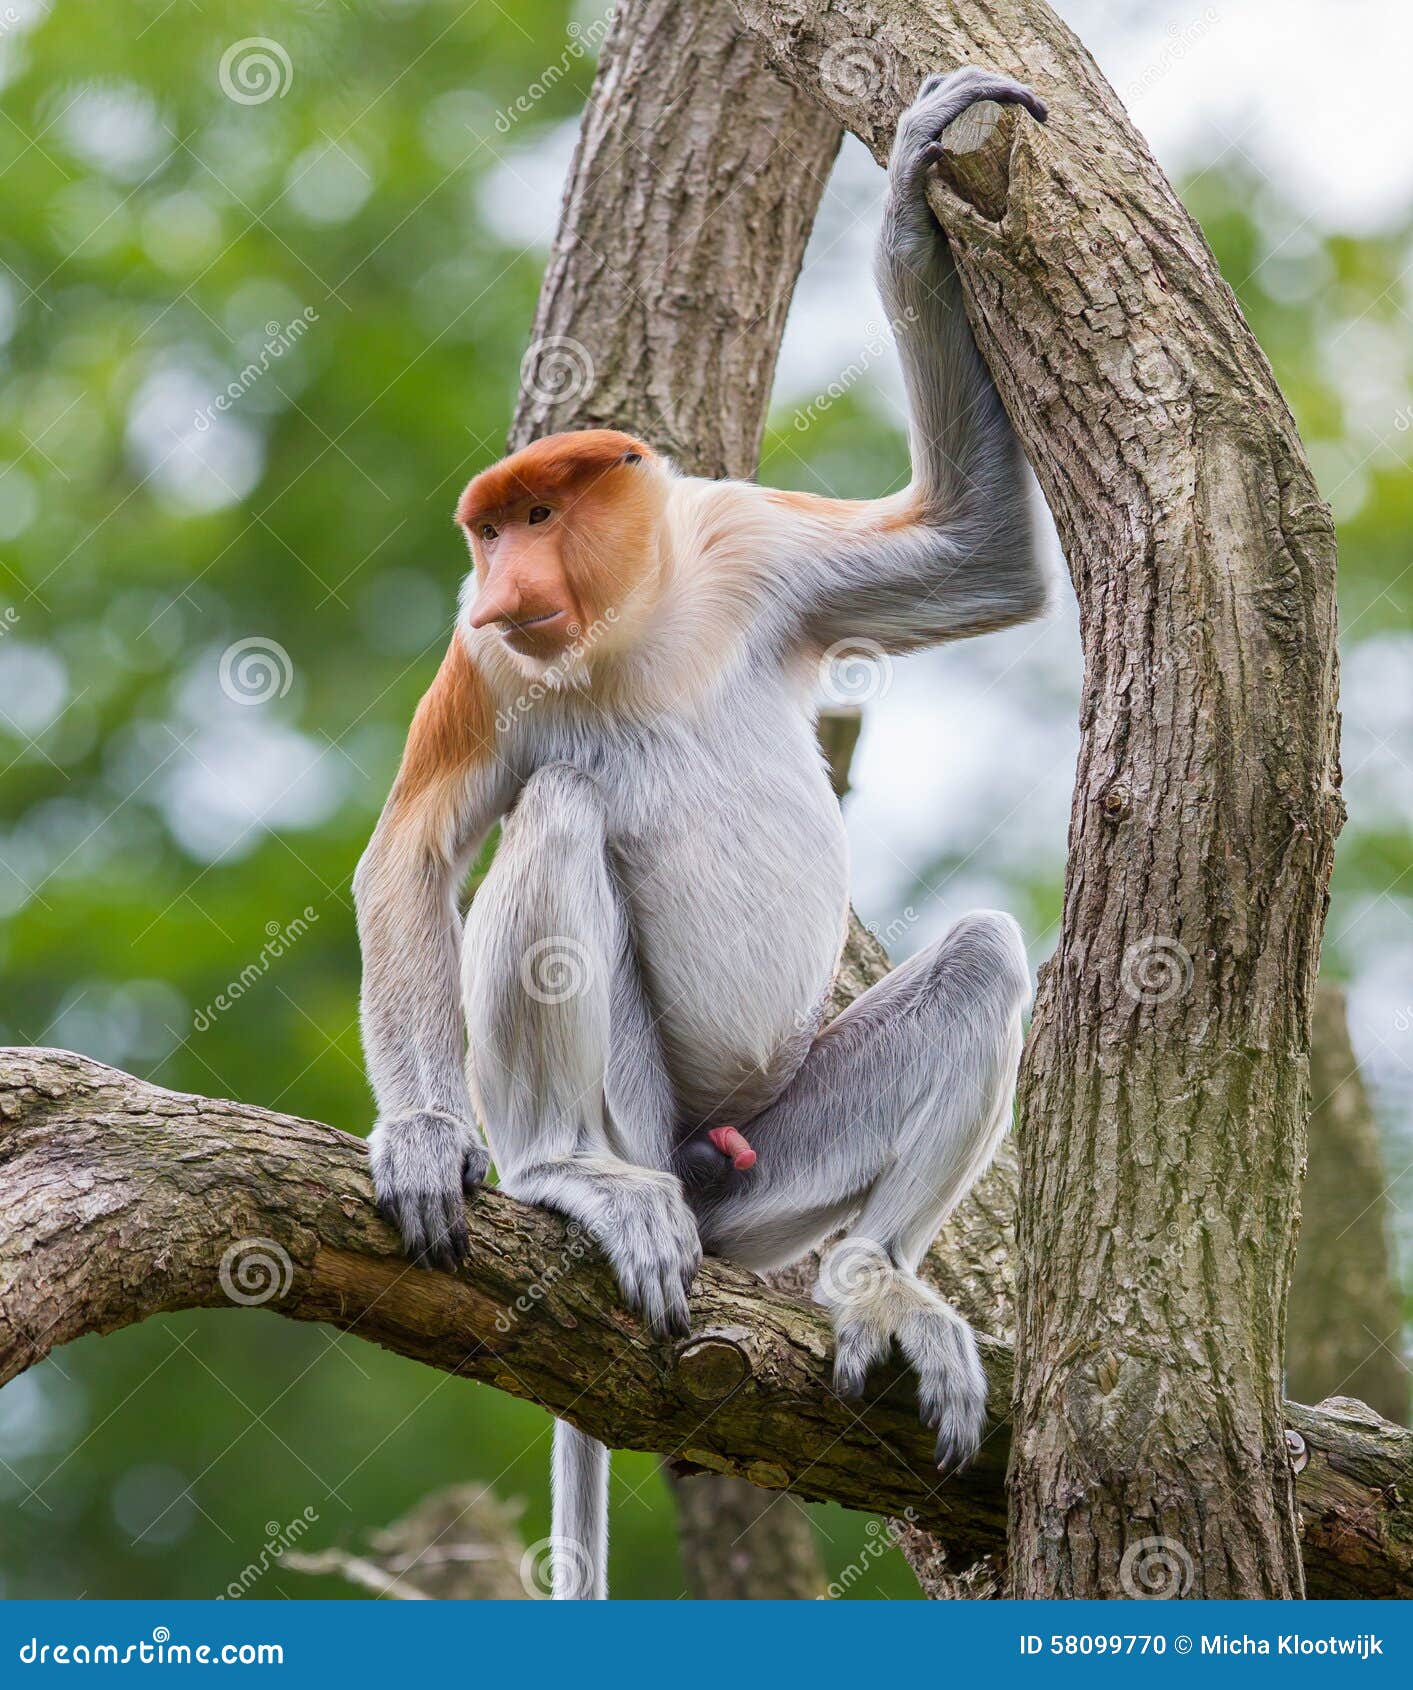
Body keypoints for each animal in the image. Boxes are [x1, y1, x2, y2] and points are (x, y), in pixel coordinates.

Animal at [353, 68, 1049, 1600]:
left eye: (539, 511)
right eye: (488, 535)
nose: (504, 579)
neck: (632, 618)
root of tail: (698, 1161)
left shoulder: (750, 545)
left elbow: (979, 554)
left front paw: (913, 192)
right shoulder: (480, 659)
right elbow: (412, 856)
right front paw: (423, 1137)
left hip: (773, 1170)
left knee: (979, 958)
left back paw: (876, 1281)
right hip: (640, 1105)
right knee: (559, 816)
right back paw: (569, 1177)